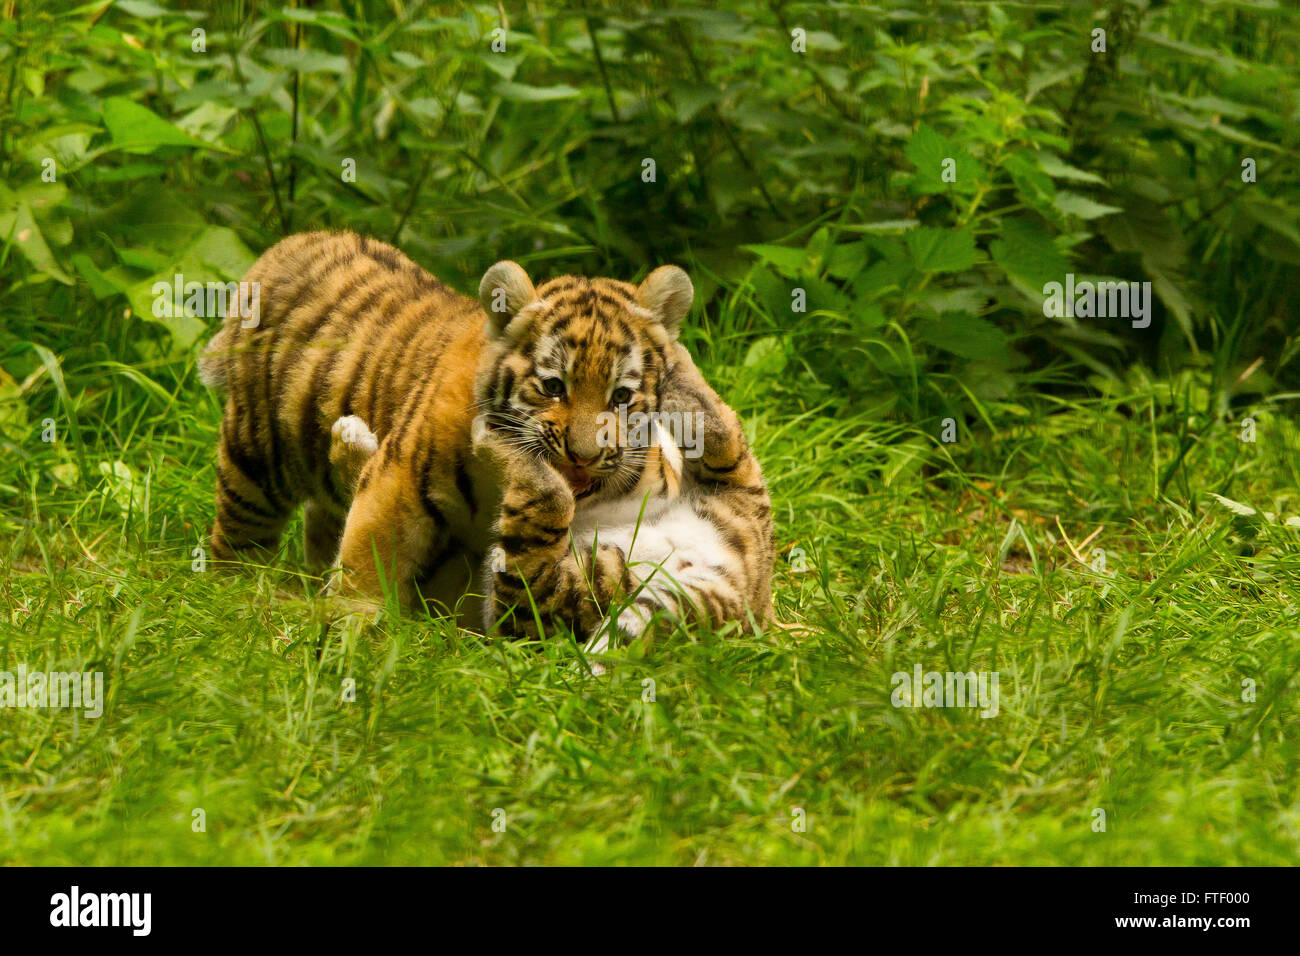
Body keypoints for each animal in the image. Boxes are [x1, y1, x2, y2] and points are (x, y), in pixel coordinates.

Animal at [197, 230, 774, 638]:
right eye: (553, 386)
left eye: (621, 397)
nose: (583, 458)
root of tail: (296, 243)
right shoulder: (401, 484)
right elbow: (371, 552)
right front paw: (351, 622)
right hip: (258, 462)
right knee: (239, 537)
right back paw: (232, 593)